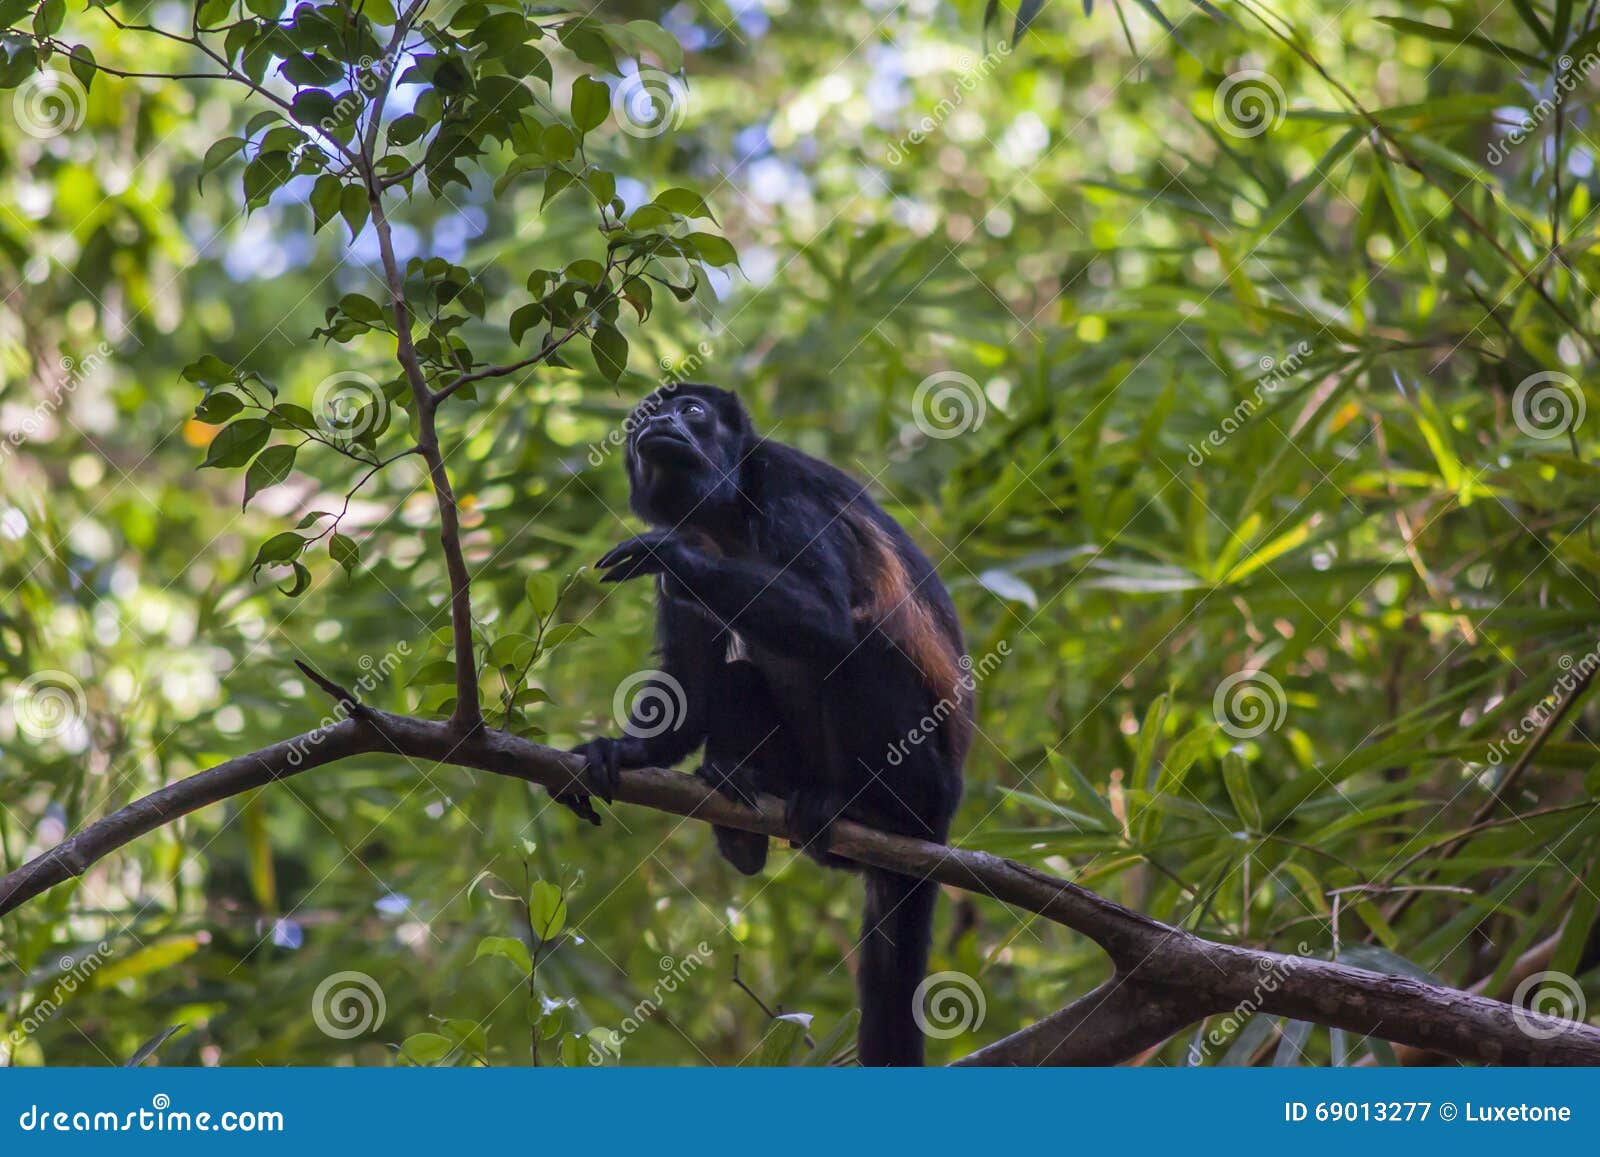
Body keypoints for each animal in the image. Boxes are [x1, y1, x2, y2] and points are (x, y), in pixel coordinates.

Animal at [563, 383, 970, 1067]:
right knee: (738, 676)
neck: (722, 519)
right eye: (647, 414)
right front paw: (628, 750)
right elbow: (690, 686)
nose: (661, 422)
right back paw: (741, 807)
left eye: (692, 410)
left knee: (862, 645)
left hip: (931, 787)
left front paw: (666, 555)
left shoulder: (784, 487)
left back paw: (873, 813)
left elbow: (830, 621)